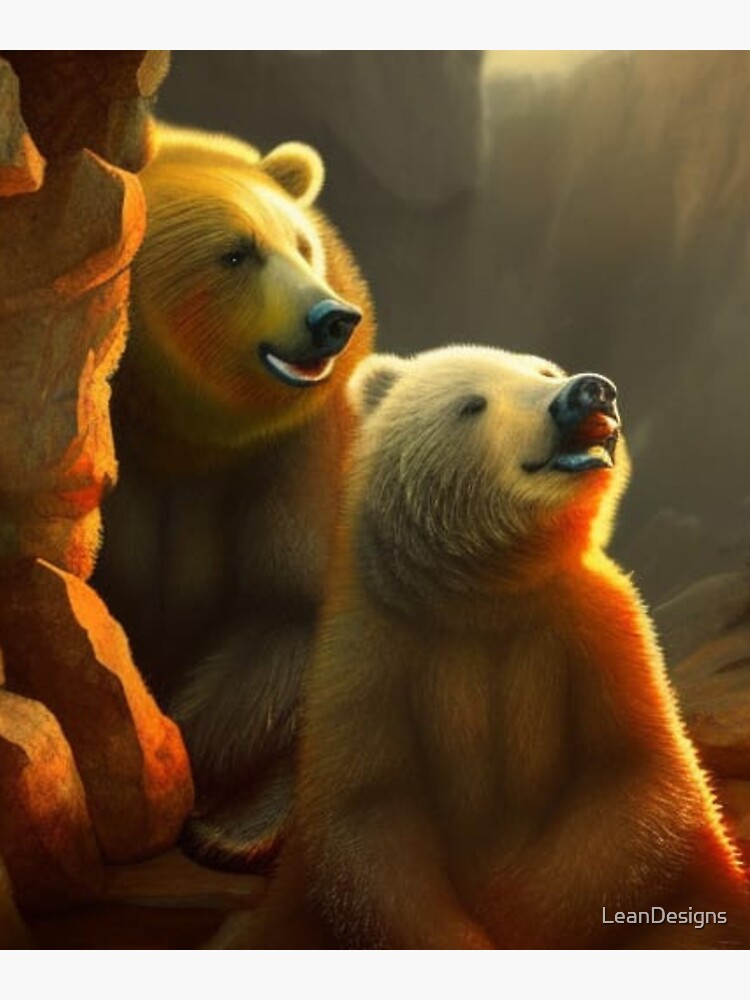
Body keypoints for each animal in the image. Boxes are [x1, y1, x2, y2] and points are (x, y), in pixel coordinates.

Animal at [93, 122, 375, 870]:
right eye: (235, 253)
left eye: (302, 245)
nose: (332, 317)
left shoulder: (298, 451)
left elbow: (287, 607)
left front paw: (212, 811)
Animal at [212, 344, 750, 948]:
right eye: (471, 404)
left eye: (546, 373)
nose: (588, 391)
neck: (487, 593)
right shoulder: (370, 652)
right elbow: (369, 821)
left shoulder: (602, 630)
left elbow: (637, 780)